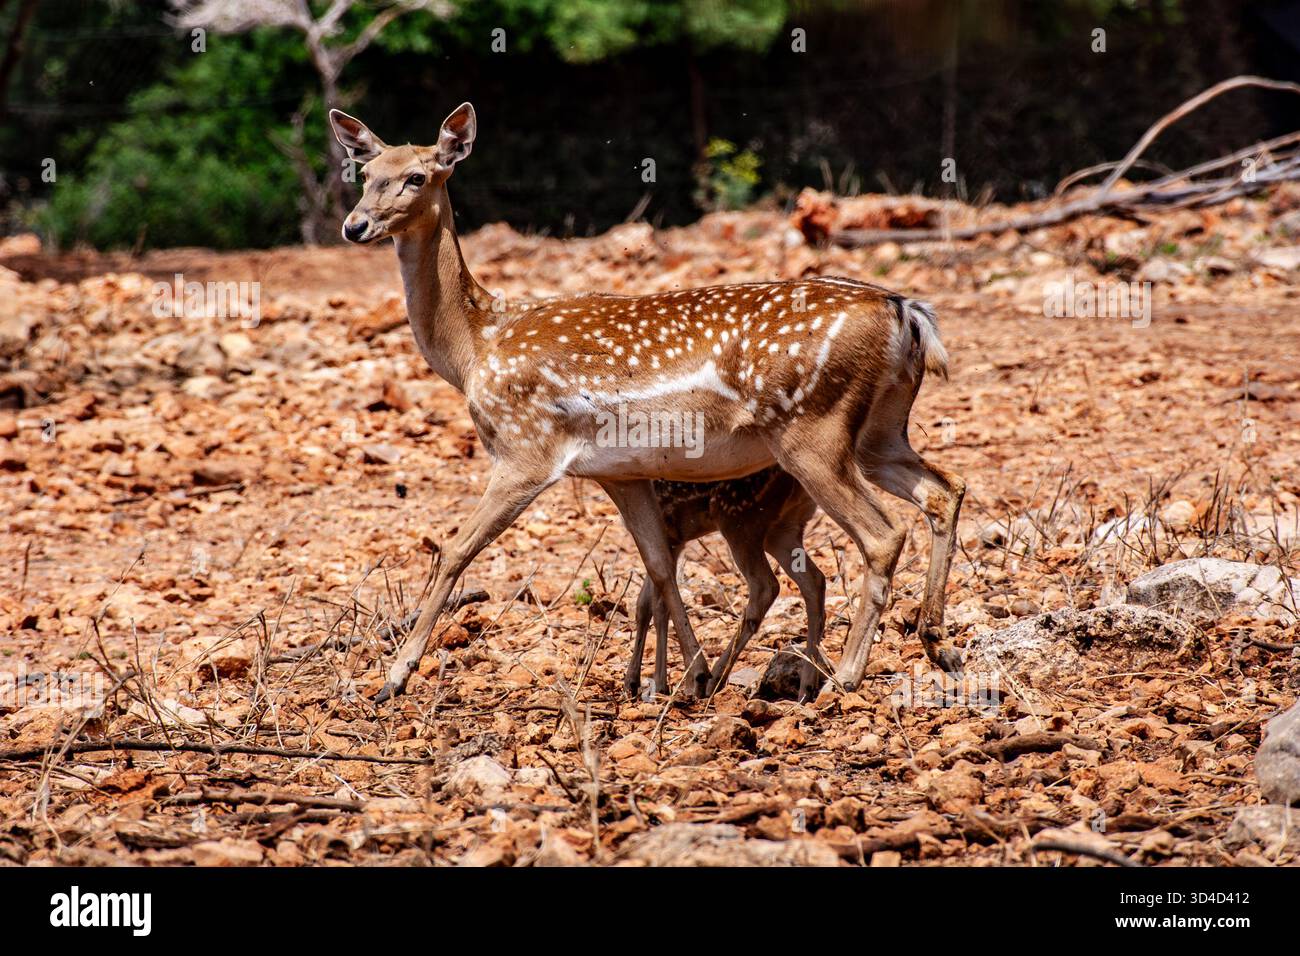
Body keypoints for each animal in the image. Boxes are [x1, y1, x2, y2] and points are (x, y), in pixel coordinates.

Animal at [626, 466, 826, 700]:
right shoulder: (675, 538)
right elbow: (644, 605)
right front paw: (634, 682)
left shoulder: (671, 534)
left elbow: (658, 607)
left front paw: (658, 685)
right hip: (784, 528)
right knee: (814, 581)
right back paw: (807, 687)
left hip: (739, 518)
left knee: (766, 586)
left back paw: (715, 679)